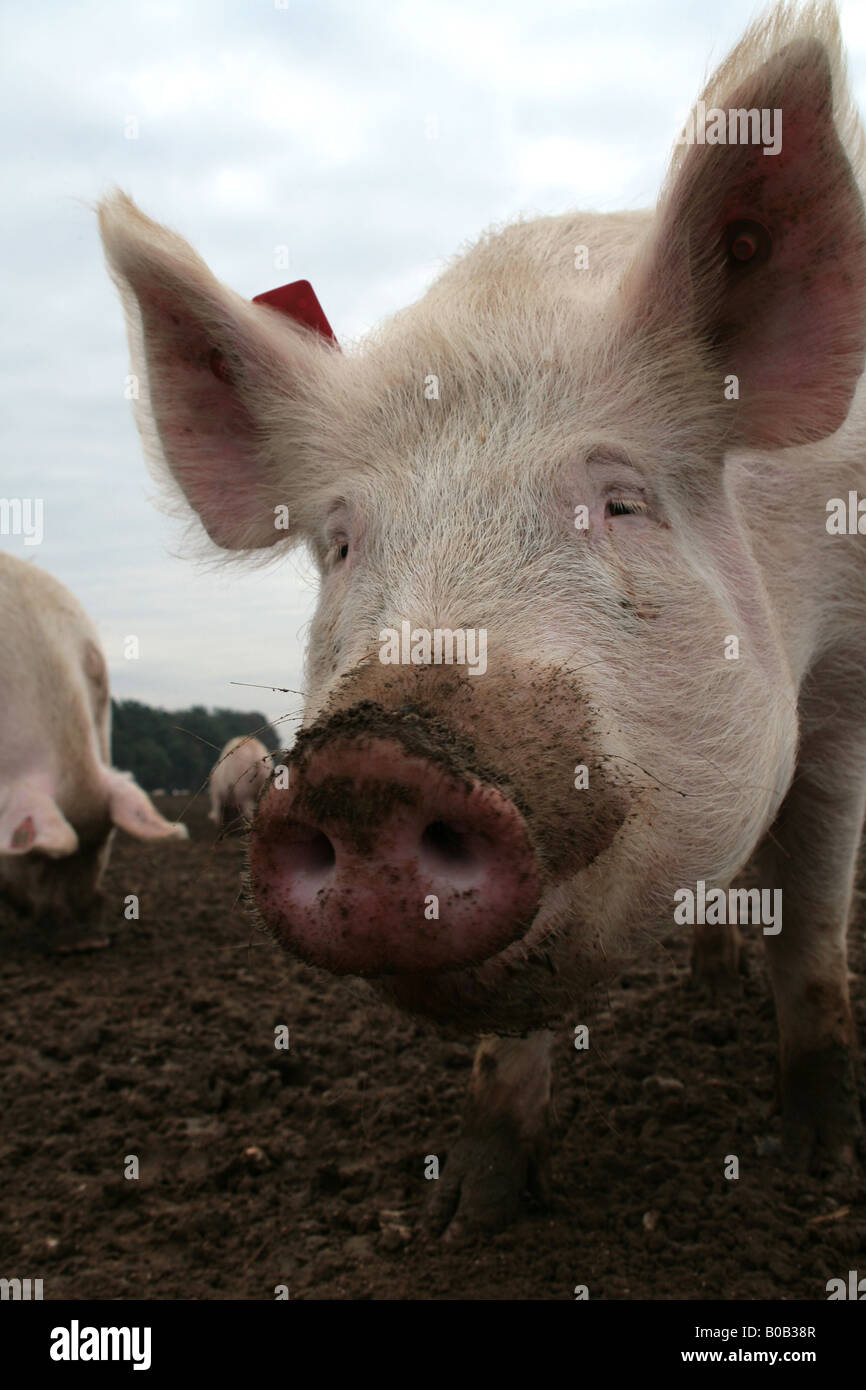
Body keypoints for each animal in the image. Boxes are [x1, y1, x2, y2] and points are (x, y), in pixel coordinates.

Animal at [99, 0, 866, 1233]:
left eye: (619, 501)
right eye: (342, 543)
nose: (370, 766)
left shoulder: (842, 678)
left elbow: (811, 931)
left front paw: (820, 1167)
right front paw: (465, 1216)